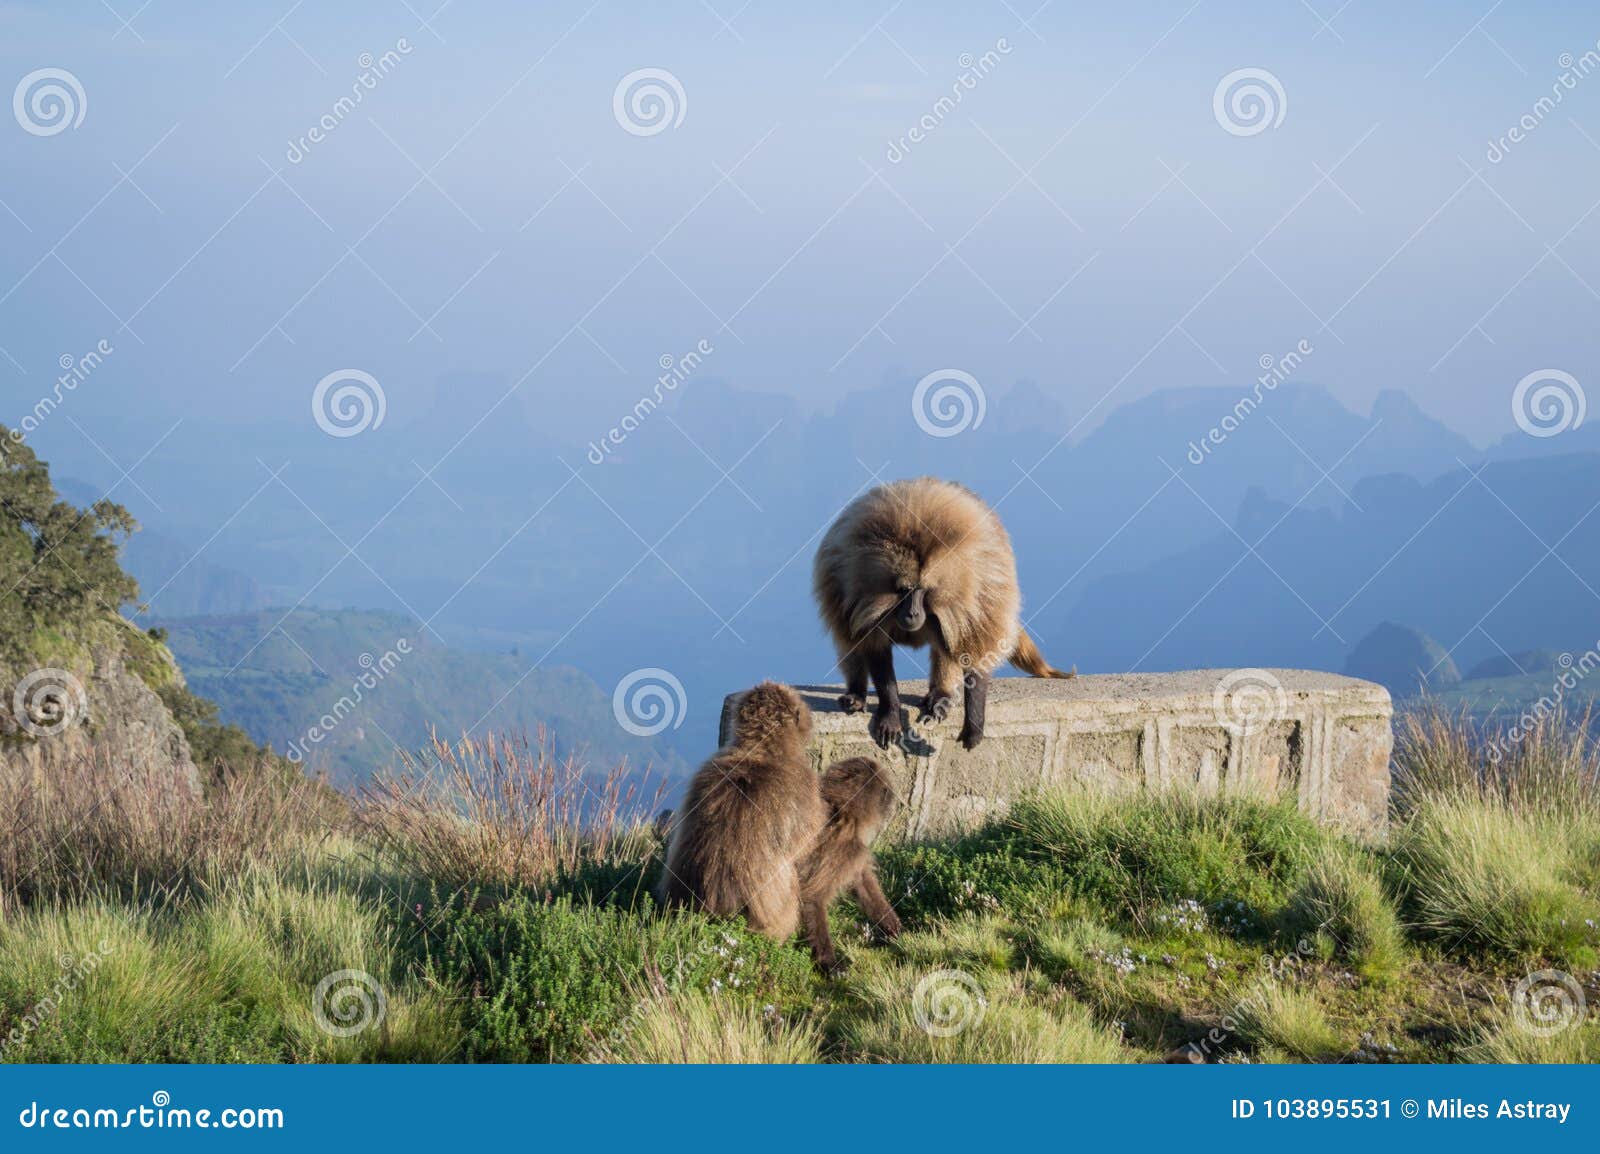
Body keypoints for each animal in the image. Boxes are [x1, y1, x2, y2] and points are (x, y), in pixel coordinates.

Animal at [798, 756, 904, 976]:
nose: (893, 800)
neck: (843, 811)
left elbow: (863, 884)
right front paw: (829, 963)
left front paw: (895, 931)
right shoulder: (844, 849)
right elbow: (812, 895)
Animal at [813, 477, 1072, 751]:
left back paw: (940, 696)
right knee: (848, 636)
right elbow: (873, 647)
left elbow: (974, 649)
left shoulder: (976, 592)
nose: (912, 614)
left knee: (948, 642)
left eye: (922, 590)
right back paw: (856, 694)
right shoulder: (863, 596)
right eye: (904, 591)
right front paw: (890, 713)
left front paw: (974, 724)